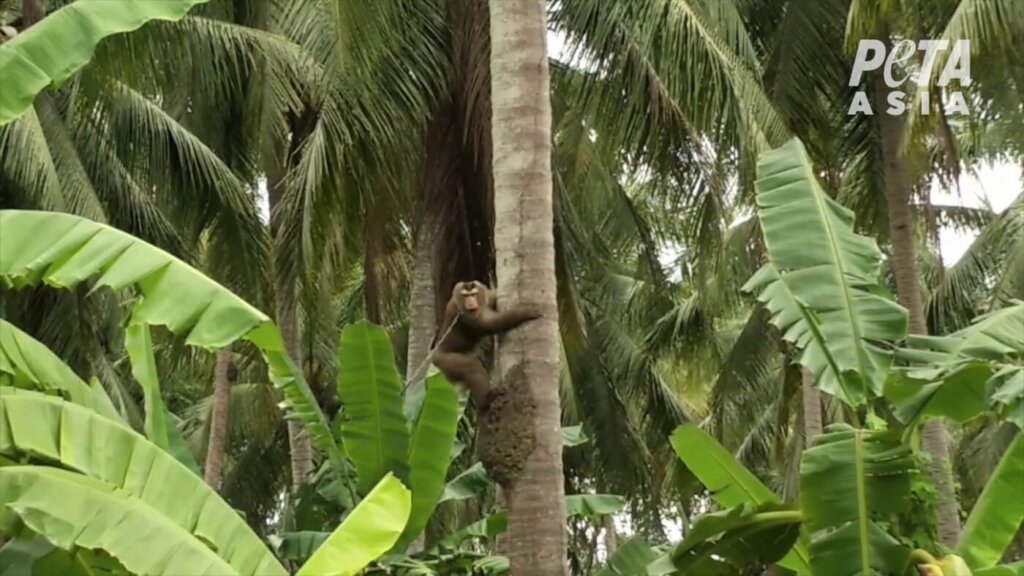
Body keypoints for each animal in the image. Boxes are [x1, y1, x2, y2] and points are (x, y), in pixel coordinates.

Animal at [431, 281, 541, 412]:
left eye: (473, 294)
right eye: (465, 296)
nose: (470, 302)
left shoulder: (486, 297)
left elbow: (493, 297)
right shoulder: (466, 315)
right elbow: (493, 324)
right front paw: (524, 312)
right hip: (444, 360)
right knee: (471, 367)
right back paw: (484, 402)